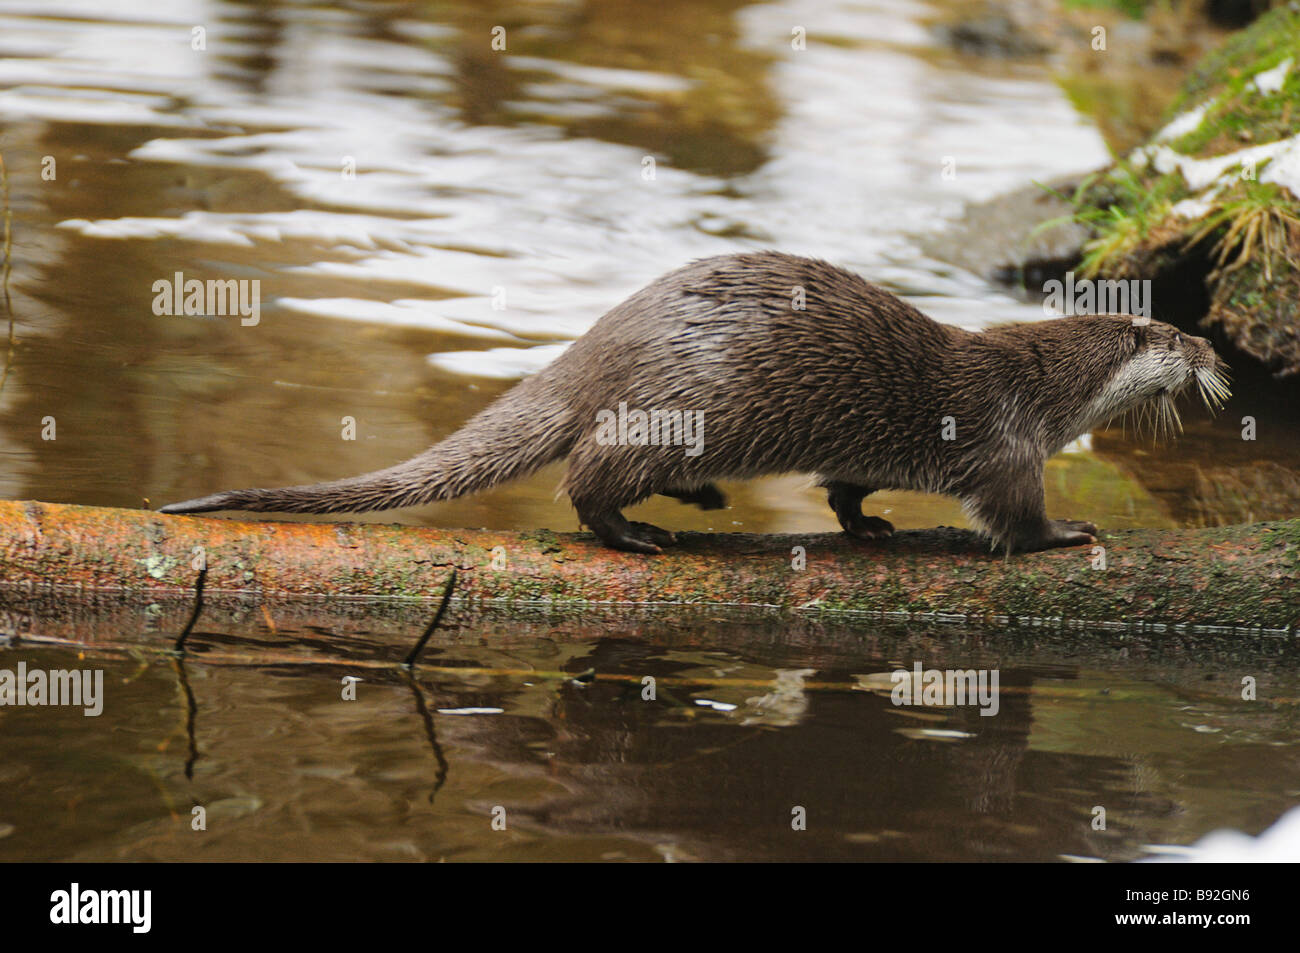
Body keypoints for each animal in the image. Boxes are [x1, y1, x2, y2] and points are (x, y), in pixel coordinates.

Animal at [161, 252, 1230, 554]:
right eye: (1174, 336)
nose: (1215, 348)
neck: (1046, 386)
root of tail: (598, 349)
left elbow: (845, 483)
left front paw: (867, 524)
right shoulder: (1010, 439)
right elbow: (1012, 513)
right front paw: (1068, 532)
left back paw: (699, 506)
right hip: (682, 408)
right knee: (587, 478)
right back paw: (642, 532)